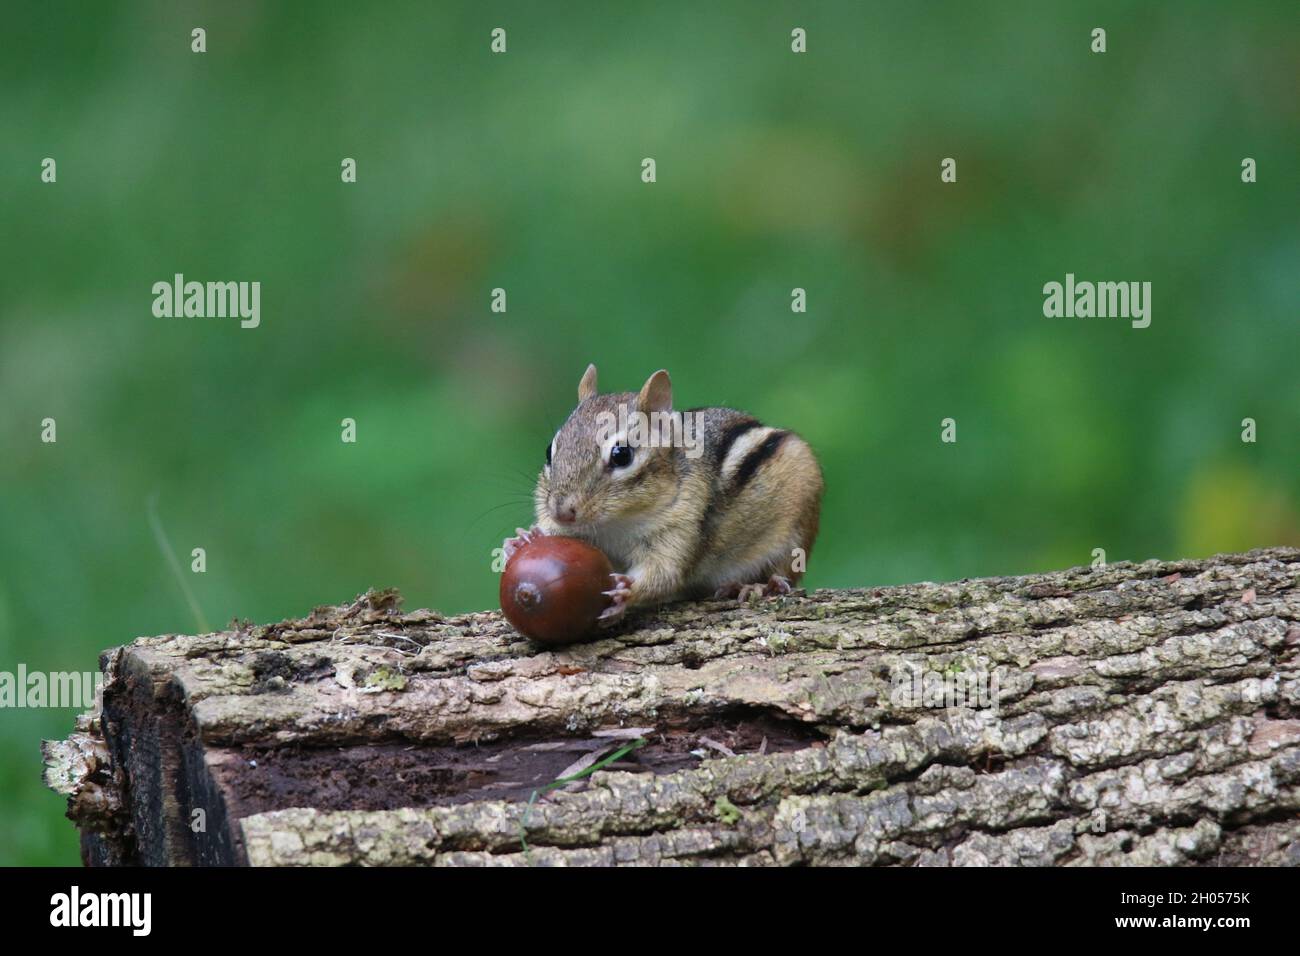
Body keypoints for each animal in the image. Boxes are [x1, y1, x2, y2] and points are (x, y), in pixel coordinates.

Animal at [502, 364, 823, 625]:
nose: (562, 511)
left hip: (797, 523)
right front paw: (521, 539)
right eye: (549, 451)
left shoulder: (680, 527)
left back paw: (758, 585)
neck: (616, 525)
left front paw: (628, 592)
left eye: (622, 455)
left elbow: (665, 574)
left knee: (786, 571)